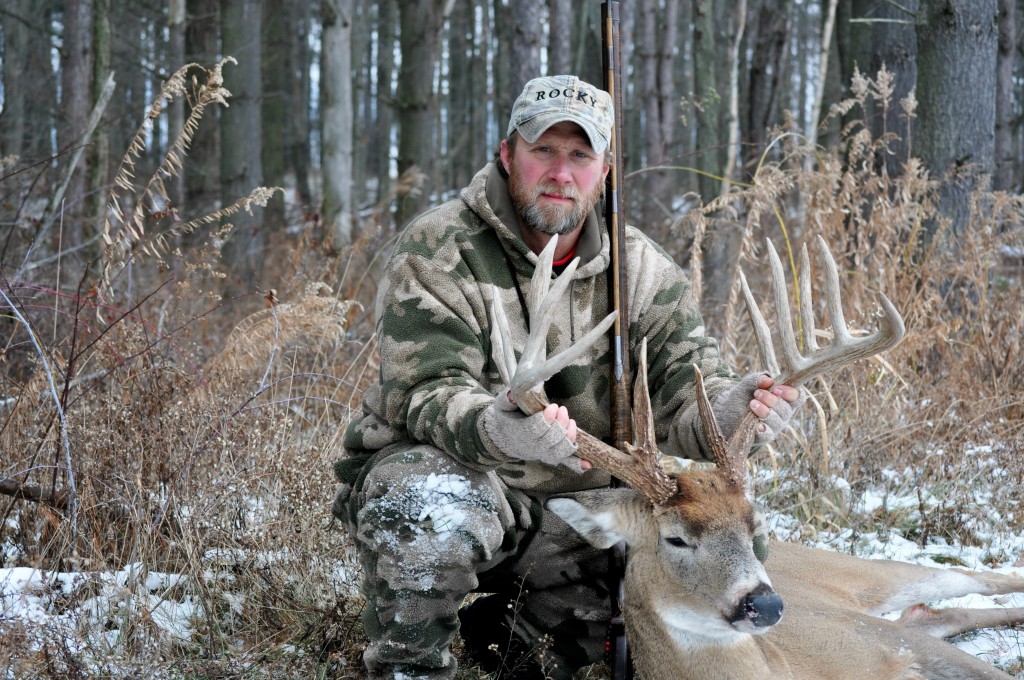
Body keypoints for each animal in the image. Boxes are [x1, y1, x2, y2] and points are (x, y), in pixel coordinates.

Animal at [488, 235, 1024, 679]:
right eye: (675, 539)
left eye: (754, 526)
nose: (764, 605)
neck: (782, 669)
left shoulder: (881, 641)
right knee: (938, 610)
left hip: (859, 582)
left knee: (974, 578)